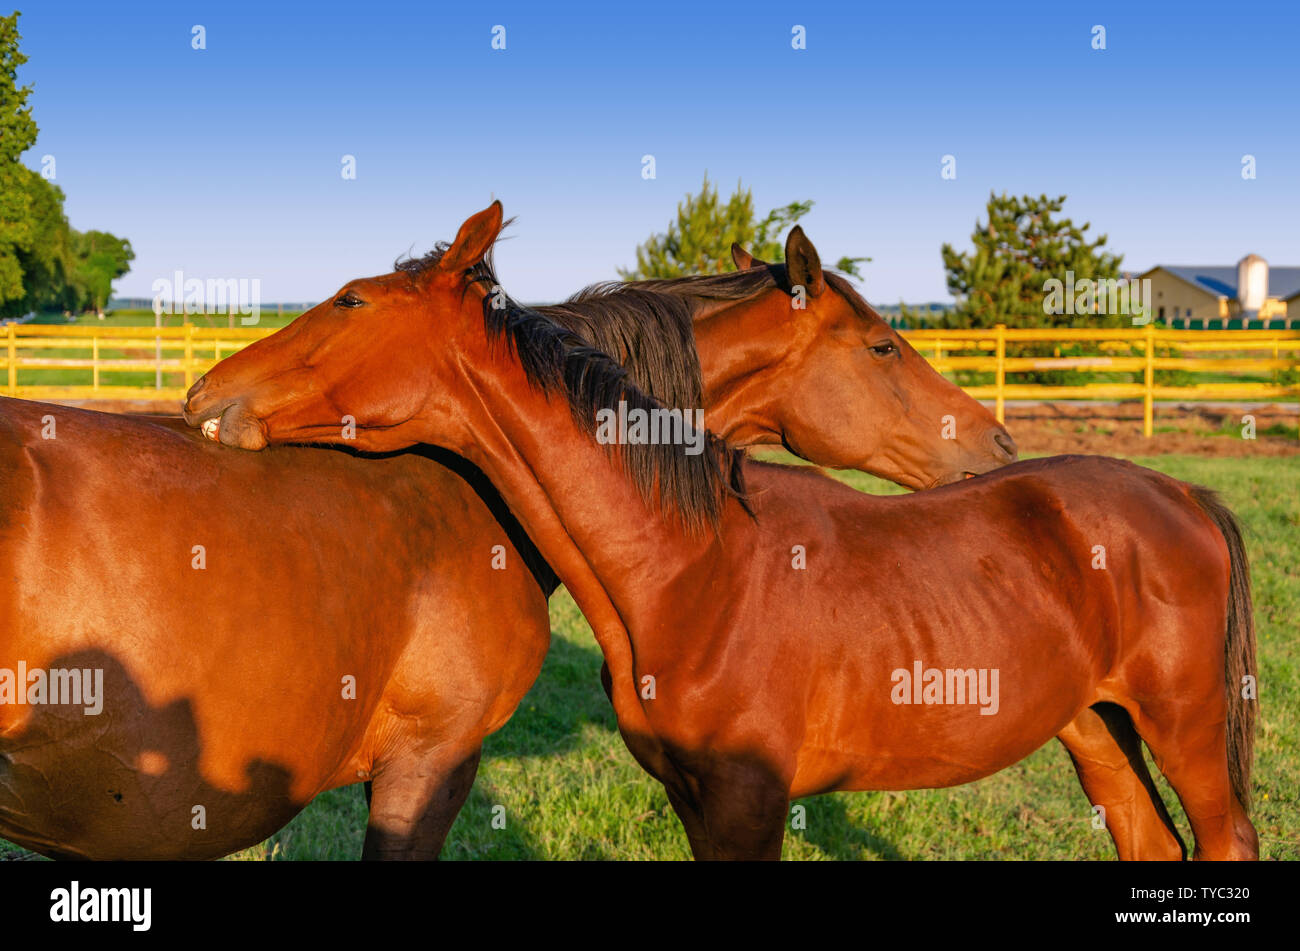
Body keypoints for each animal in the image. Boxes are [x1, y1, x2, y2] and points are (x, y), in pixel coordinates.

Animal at [187, 201, 1258, 860]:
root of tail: (1184, 494)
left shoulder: (751, 801)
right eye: (881, 346)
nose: (206, 392)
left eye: (351, 300)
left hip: (1187, 730)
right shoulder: (697, 799)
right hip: (1098, 728)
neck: (691, 570)